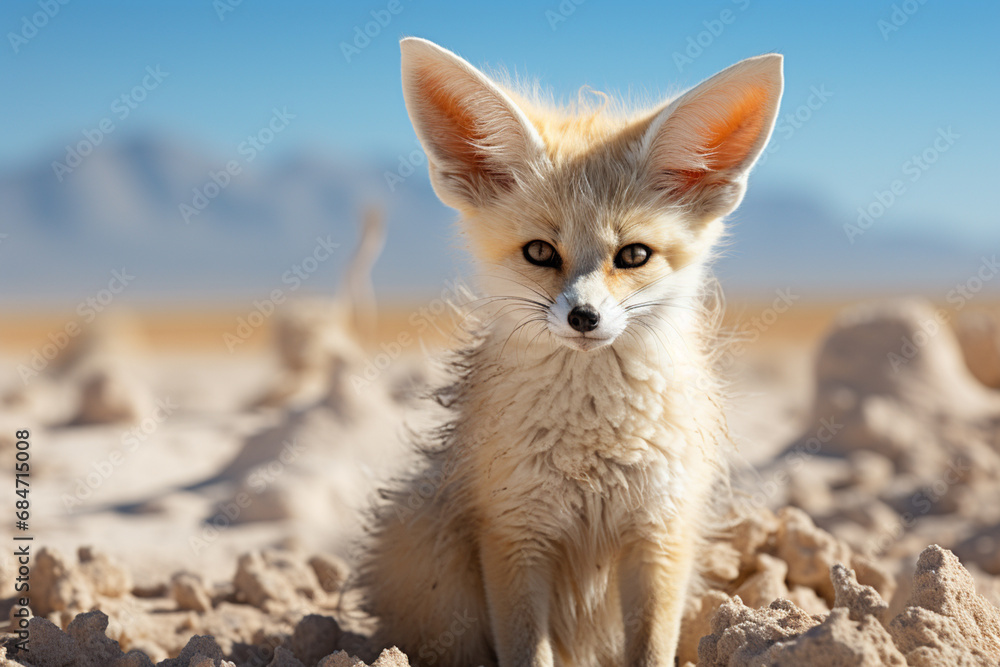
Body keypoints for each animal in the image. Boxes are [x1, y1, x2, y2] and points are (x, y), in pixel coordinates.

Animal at [359, 37, 783, 666]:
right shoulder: (515, 533)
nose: (584, 317)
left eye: (633, 255)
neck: (594, 448)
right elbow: (527, 652)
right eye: (539, 252)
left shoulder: (659, 532)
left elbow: (652, 649)